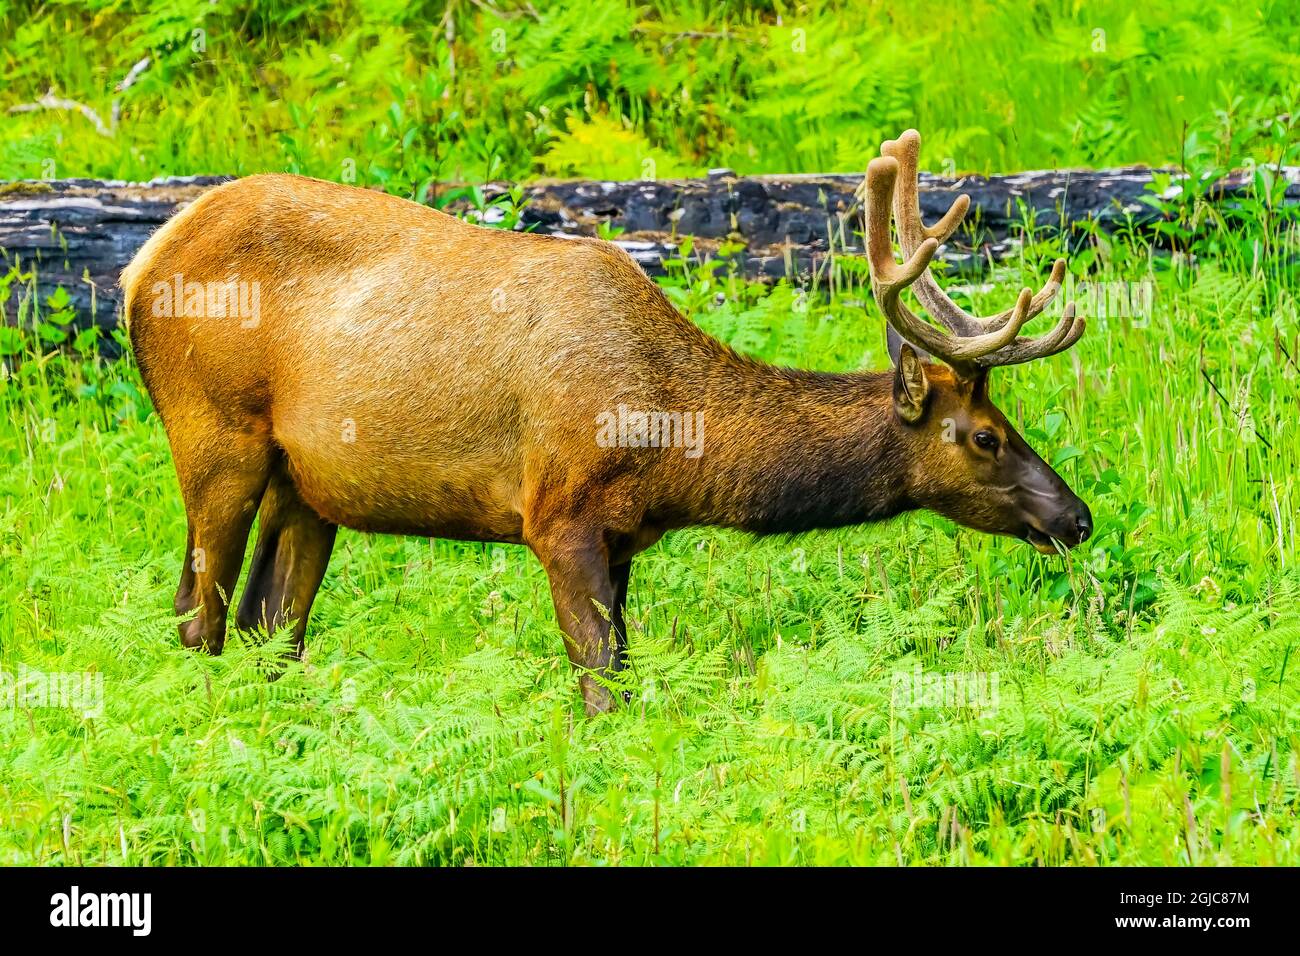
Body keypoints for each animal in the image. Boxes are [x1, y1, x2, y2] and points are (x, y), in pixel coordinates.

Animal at [120, 128, 1091, 716]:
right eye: (987, 436)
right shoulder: (558, 518)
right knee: (197, 616)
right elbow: (602, 690)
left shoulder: (624, 539)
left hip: (307, 487)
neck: (671, 450)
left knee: (269, 629)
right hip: (213, 437)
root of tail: (139, 263)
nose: (1078, 517)